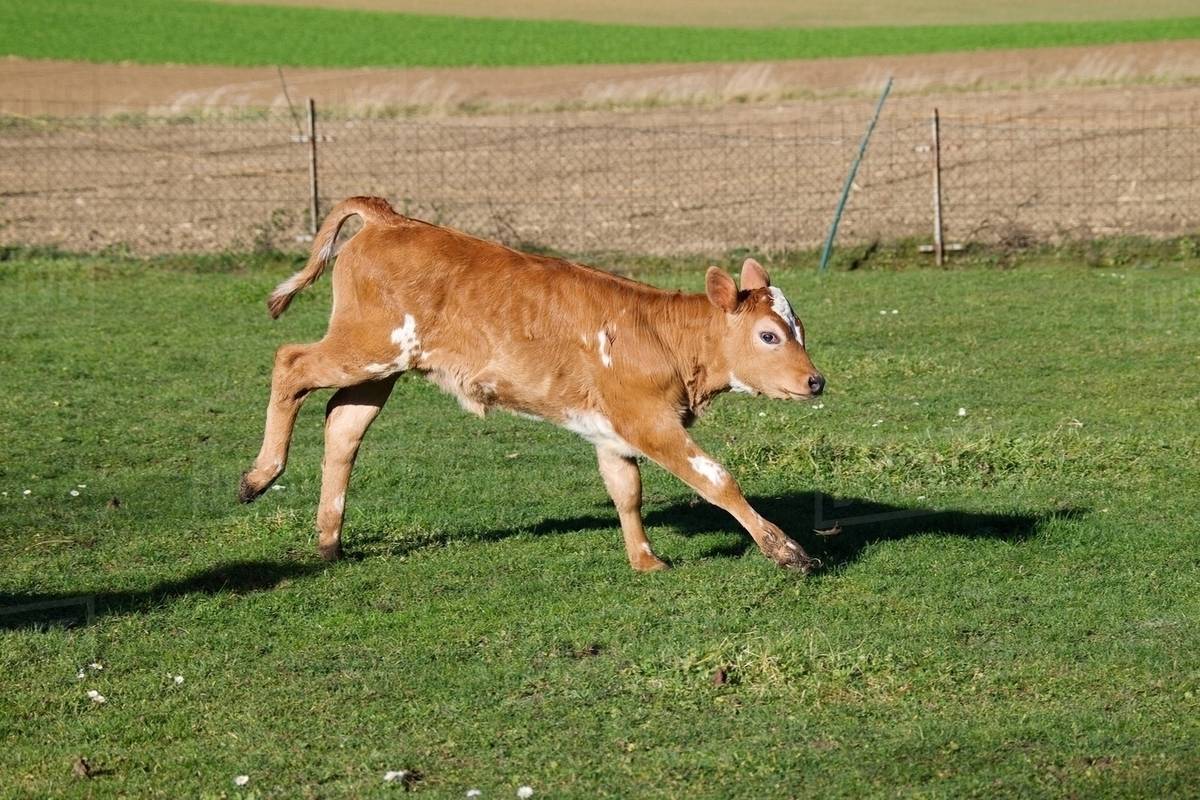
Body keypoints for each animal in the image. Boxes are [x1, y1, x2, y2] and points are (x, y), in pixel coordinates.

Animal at [240, 196, 825, 572]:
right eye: (769, 335)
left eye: (800, 328)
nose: (815, 381)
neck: (659, 334)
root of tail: (392, 219)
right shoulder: (650, 421)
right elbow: (716, 479)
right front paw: (786, 551)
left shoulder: (611, 431)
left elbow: (626, 491)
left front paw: (645, 560)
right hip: (366, 346)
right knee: (290, 364)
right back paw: (260, 475)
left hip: (383, 366)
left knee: (344, 426)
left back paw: (329, 542)